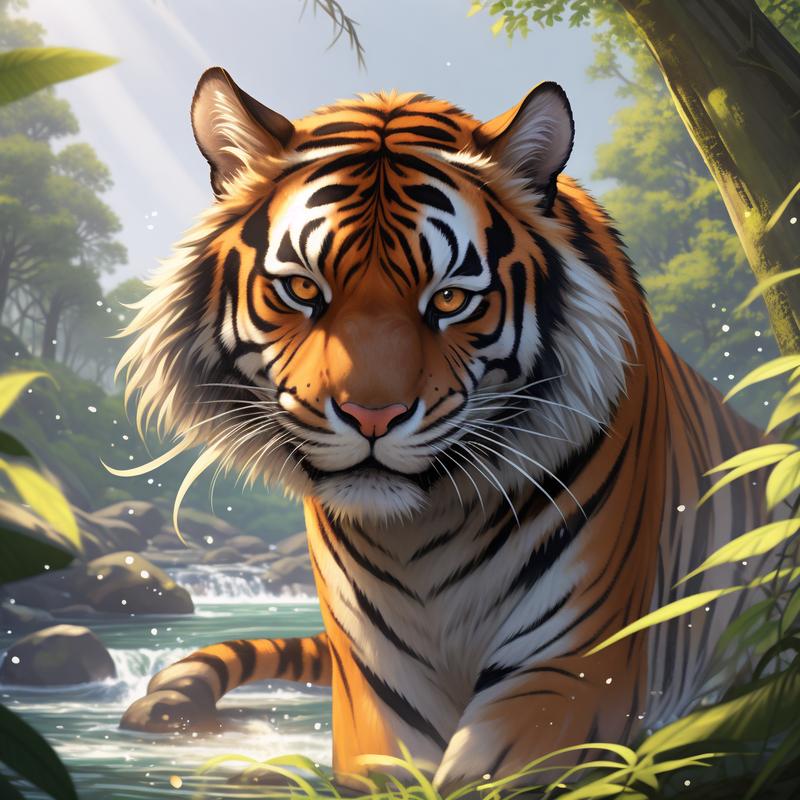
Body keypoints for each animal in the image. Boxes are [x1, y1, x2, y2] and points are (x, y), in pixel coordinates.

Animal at [117, 67, 768, 789]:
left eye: (450, 298)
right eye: (304, 289)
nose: (372, 415)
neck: (423, 534)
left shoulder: (572, 668)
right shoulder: (377, 684)